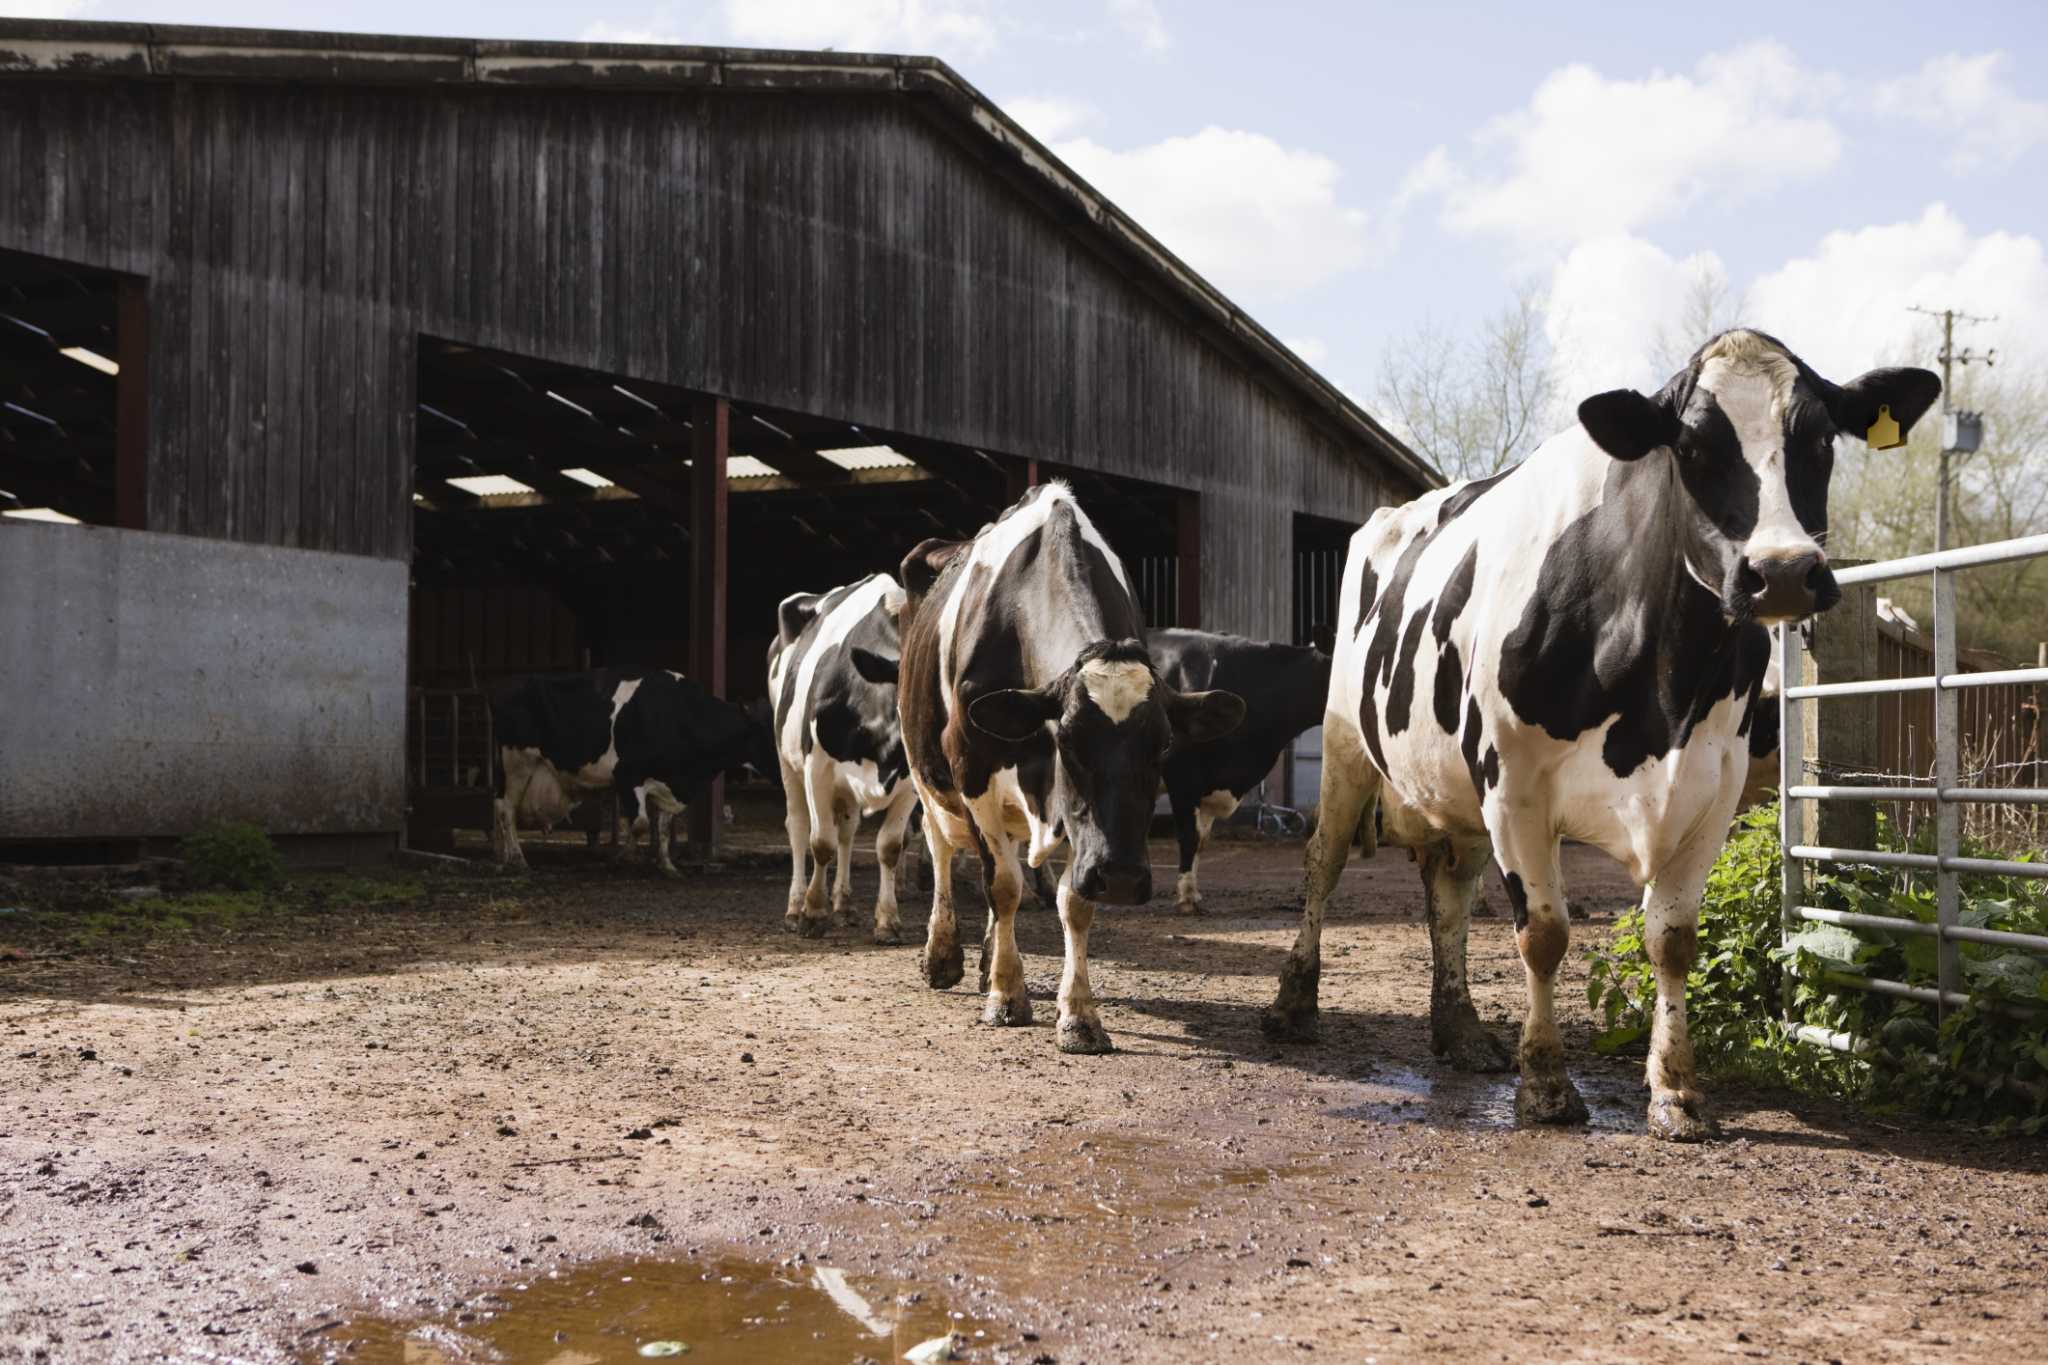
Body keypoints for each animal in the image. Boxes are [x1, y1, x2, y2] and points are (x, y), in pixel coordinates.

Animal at [490, 669, 769, 874]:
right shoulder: (627, 775)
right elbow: (640, 823)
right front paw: (622, 857)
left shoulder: (670, 784)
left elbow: (663, 825)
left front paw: (667, 864)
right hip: (518, 764)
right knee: (506, 809)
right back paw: (517, 859)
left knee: (502, 809)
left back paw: (505, 857)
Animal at [766, 573, 922, 943]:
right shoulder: (817, 767)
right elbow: (820, 842)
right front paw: (812, 914)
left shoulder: (909, 783)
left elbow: (889, 846)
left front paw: (887, 921)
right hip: (786, 760)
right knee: (797, 827)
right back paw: (795, 907)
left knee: (848, 832)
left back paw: (844, 905)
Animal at [896, 482, 1246, 1053]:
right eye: (1068, 740)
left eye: (1164, 746)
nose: (1122, 877)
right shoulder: (972, 769)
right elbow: (1003, 885)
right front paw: (1006, 996)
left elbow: (1072, 901)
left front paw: (1078, 1014)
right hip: (924, 766)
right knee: (942, 846)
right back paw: (944, 956)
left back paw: (989, 959)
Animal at [1264, 330, 1938, 1141]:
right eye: (1691, 446)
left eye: (1820, 440)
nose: (1780, 573)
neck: (1662, 688)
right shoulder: (1514, 786)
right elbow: (1544, 934)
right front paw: (1547, 1085)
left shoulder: (1712, 794)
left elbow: (1673, 940)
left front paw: (1676, 1091)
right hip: (1348, 744)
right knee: (1324, 861)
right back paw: (1293, 1005)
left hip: (1454, 785)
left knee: (1448, 889)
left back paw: (1461, 1028)